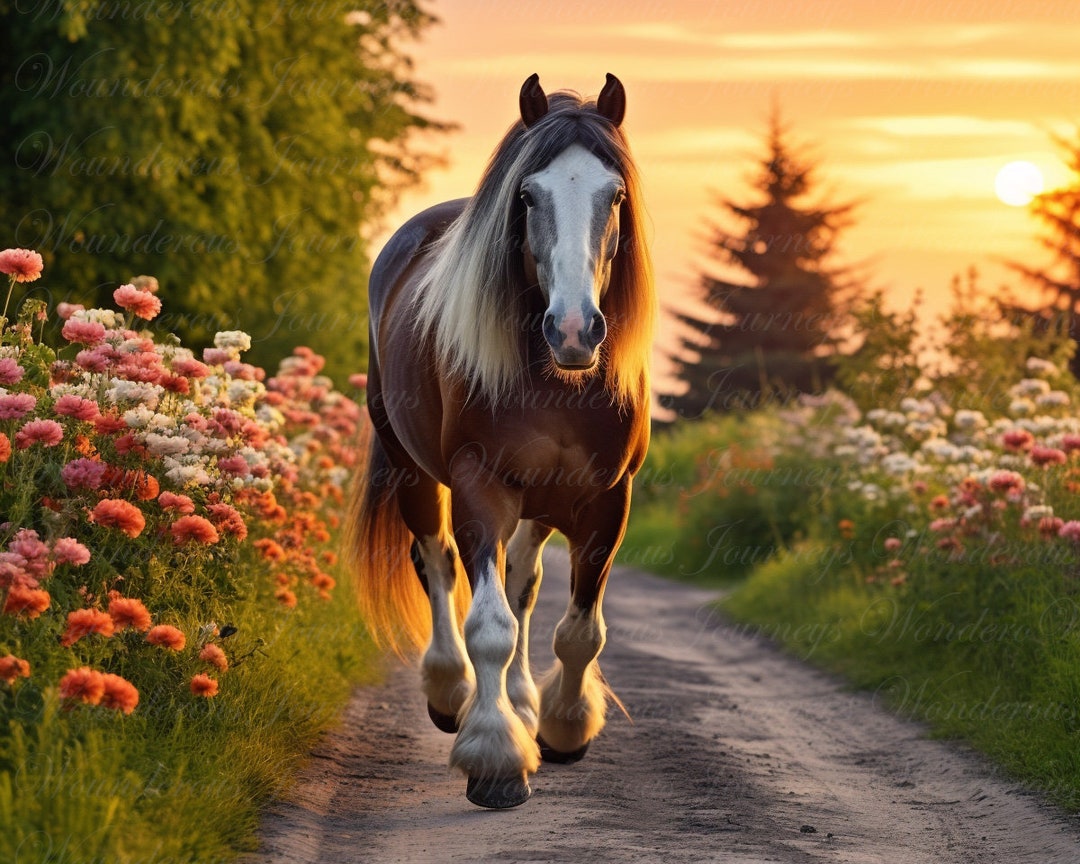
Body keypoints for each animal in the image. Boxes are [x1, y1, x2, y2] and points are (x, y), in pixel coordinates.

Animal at [348, 73, 654, 809]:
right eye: (528, 194)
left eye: (615, 194)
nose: (573, 329)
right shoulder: (479, 486)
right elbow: (488, 626)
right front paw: (494, 756)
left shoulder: (608, 499)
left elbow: (579, 630)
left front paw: (563, 726)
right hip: (411, 470)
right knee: (436, 564)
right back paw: (450, 690)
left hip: (541, 502)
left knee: (523, 583)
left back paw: (521, 703)